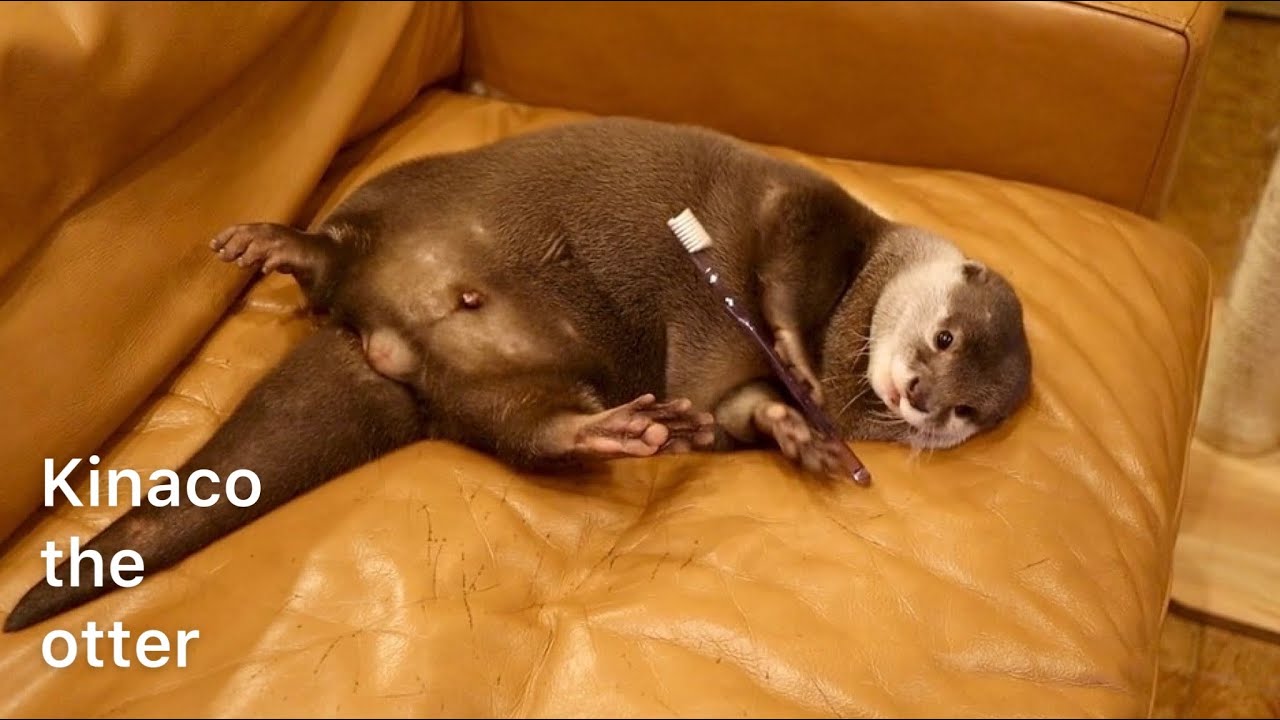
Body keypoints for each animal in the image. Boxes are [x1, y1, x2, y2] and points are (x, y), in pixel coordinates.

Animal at [4, 117, 1031, 632]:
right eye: (945, 339)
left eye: (969, 413)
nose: (924, 401)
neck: (847, 305)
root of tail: (383, 337)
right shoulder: (804, 214)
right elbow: (774, 282)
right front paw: (804, 386)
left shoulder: (737, 385)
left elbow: (745, 408)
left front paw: (799, 437)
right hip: (398, 192)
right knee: (332, 252)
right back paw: (275, 242)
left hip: (499, 387)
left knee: (529, 431)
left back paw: (625, 429)